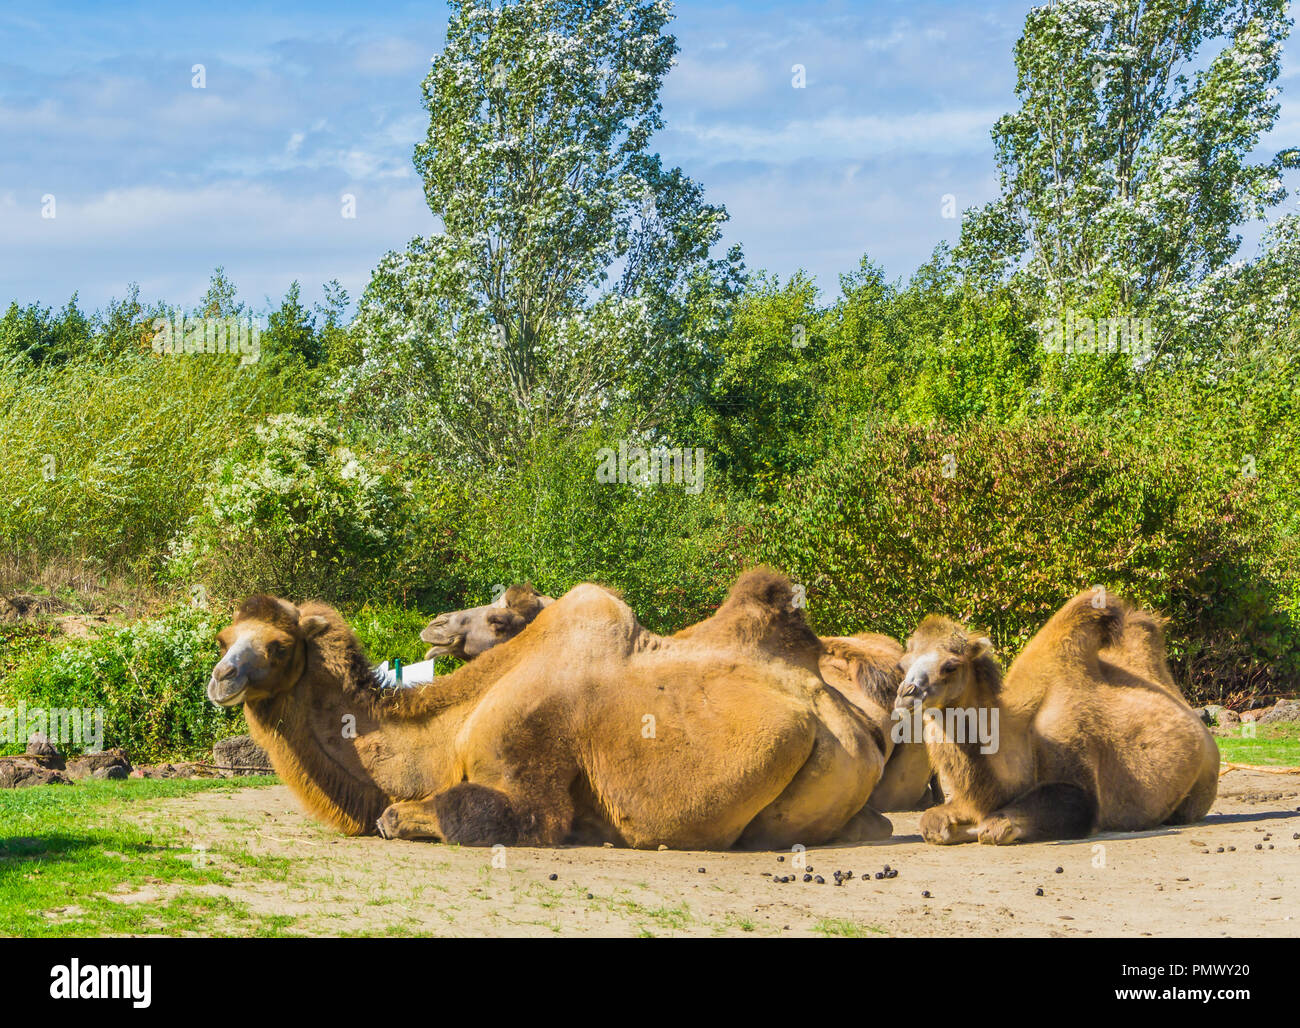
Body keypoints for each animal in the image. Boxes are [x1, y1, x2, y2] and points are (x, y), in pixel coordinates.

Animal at [896, 589, 1219, 845]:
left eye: (950, 665)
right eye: (902, 665)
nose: (906, 694)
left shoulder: (1077, 785)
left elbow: (994, 828)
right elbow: (931, 823)